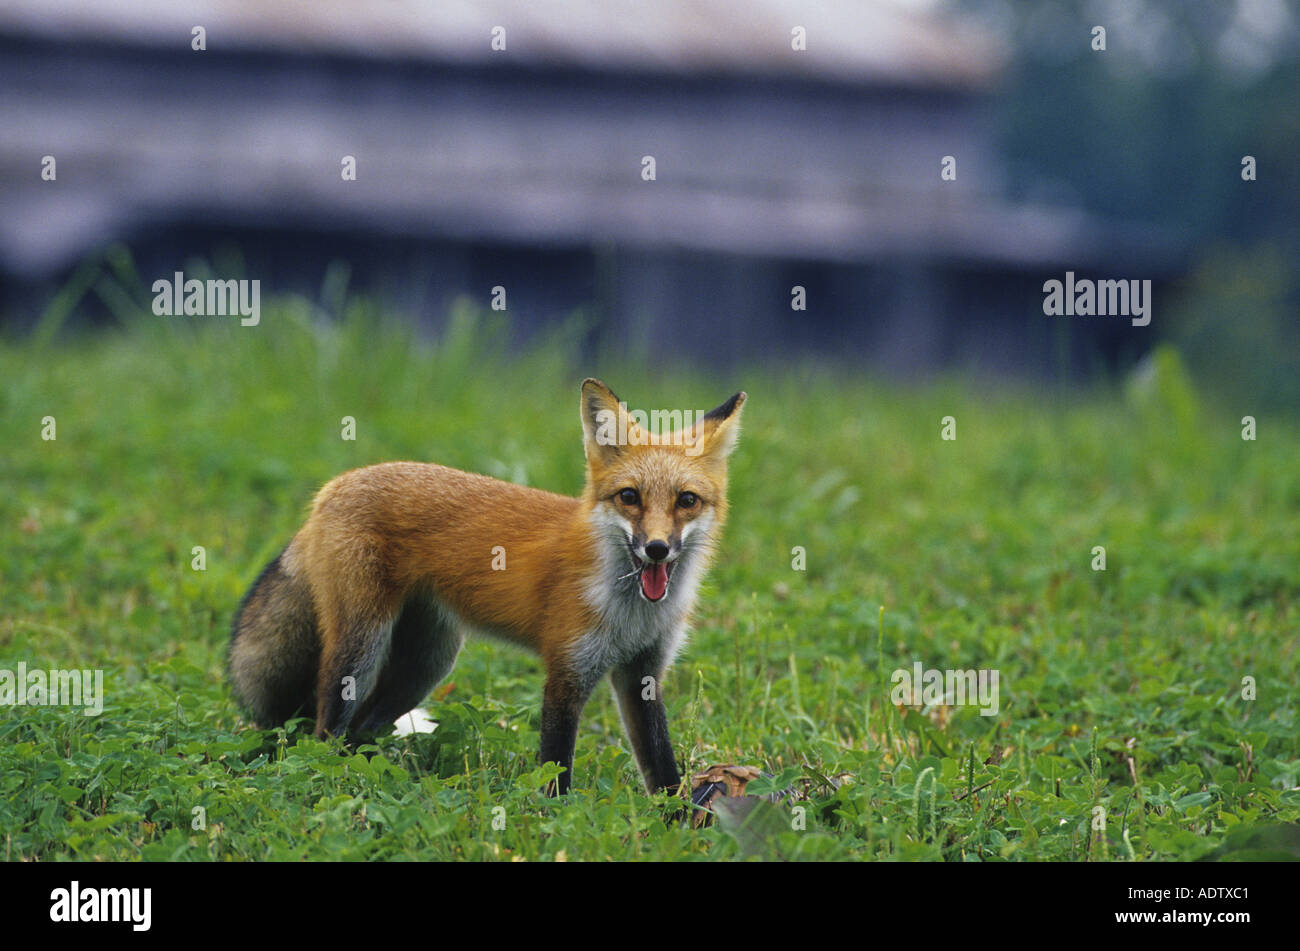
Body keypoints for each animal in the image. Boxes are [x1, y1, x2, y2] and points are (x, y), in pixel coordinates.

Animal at [227, 378, 745, 796]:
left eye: (686, 501)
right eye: (630, 497)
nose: (656, 549)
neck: (632, 613)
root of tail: (332, 487)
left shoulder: (644, 673)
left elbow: (662, 767)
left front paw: (677, 822)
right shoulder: (566, 670)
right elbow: (556, 766)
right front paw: (553, 820)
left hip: (425, 666)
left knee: (361, 729)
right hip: (362, 647)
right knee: (328, 730)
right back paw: (334, 780)